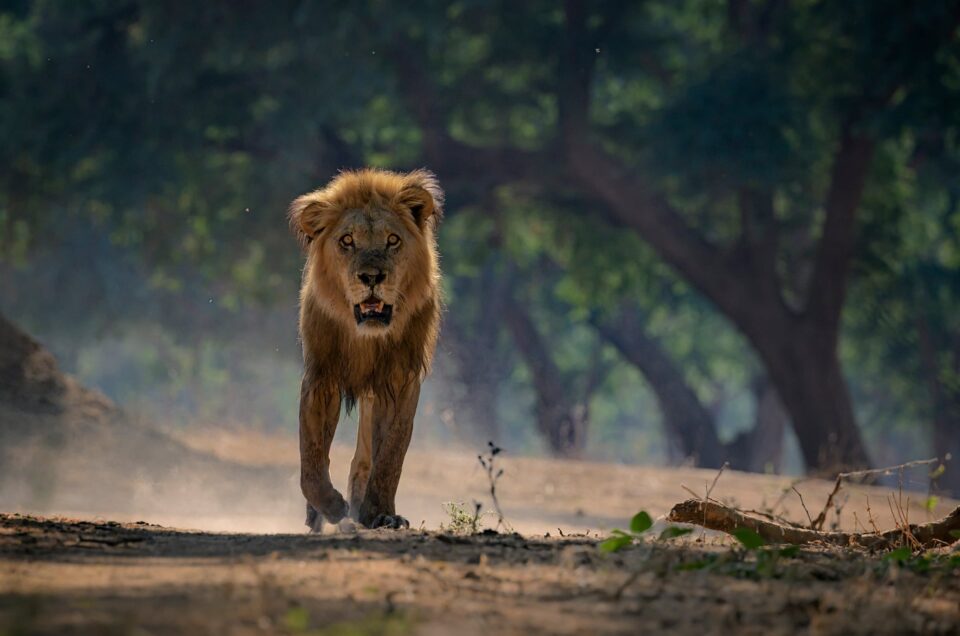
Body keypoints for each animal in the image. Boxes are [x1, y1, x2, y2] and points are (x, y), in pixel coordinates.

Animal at [288, 168, 443, 530]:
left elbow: (390, 455)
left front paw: (379, 513)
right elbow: (311, 458)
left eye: (392, 240)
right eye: (347, 241)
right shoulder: (321, 377)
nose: (371, 276)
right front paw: (329, 507)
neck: (367, 336)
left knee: (366, 455)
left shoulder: (399, 379)